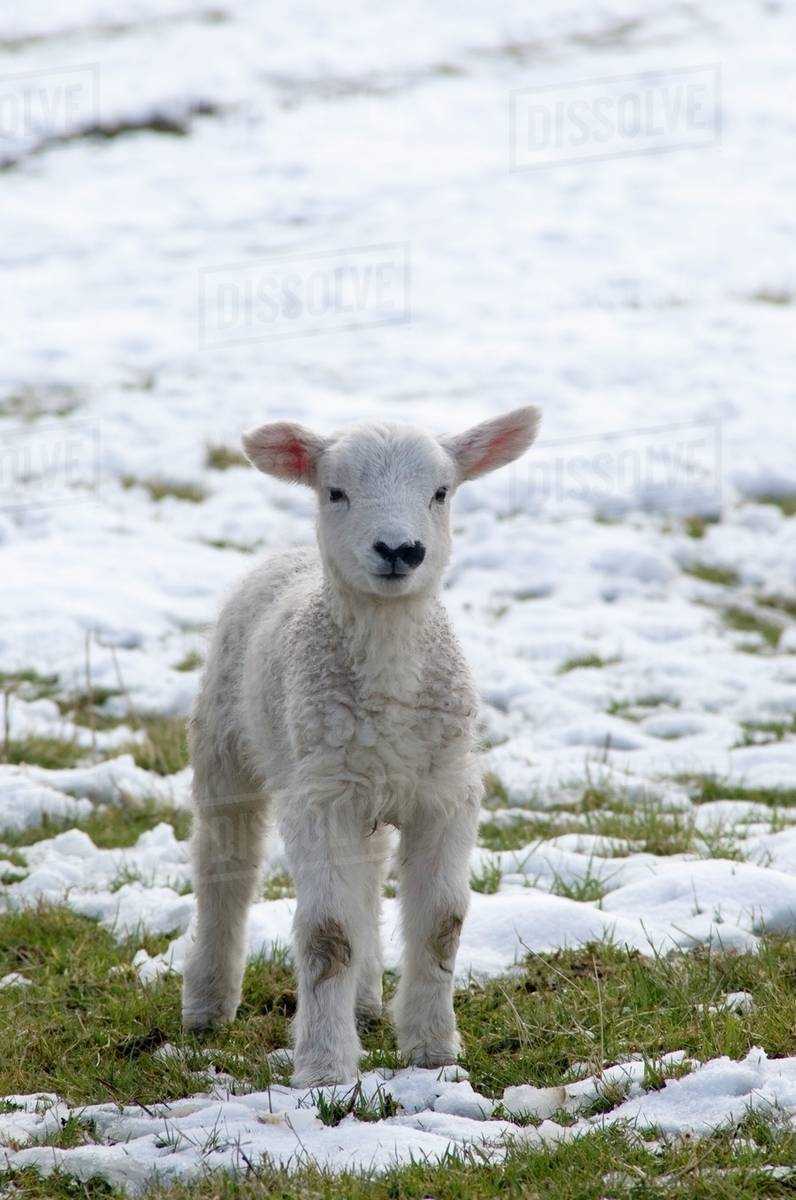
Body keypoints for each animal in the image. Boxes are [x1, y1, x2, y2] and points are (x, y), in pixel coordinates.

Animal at [181, 406, 541, 1086]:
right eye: (335, 492)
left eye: (442, 492)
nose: (399, 550)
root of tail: (290, 555)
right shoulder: (319, 797)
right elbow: (328, 935)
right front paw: (325, 1068)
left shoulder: (445, 791)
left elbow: (441, 925)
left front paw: (433, 1052)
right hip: (225, 744)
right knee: (225, 867)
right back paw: (207, 1005)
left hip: (365, 785)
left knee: (368, 878)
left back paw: (369, 1002)